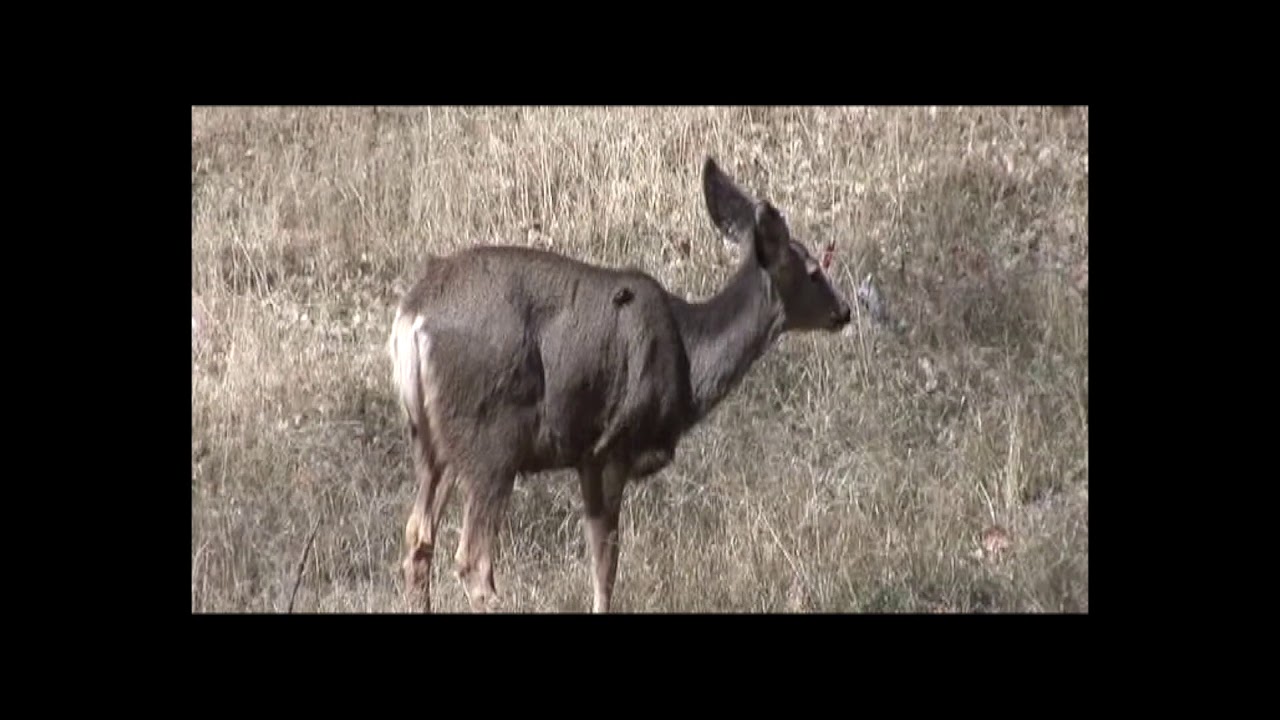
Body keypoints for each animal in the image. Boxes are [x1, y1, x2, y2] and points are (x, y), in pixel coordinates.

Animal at [388, 156, 852, 613]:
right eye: (814, 271)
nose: (843, 311)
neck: (689, 360)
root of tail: (412, 318)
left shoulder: (586, 458)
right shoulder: (611, 446)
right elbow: (607, 564)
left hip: (433, 442)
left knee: (417, 539)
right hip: (491, 437)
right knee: (472, 561)